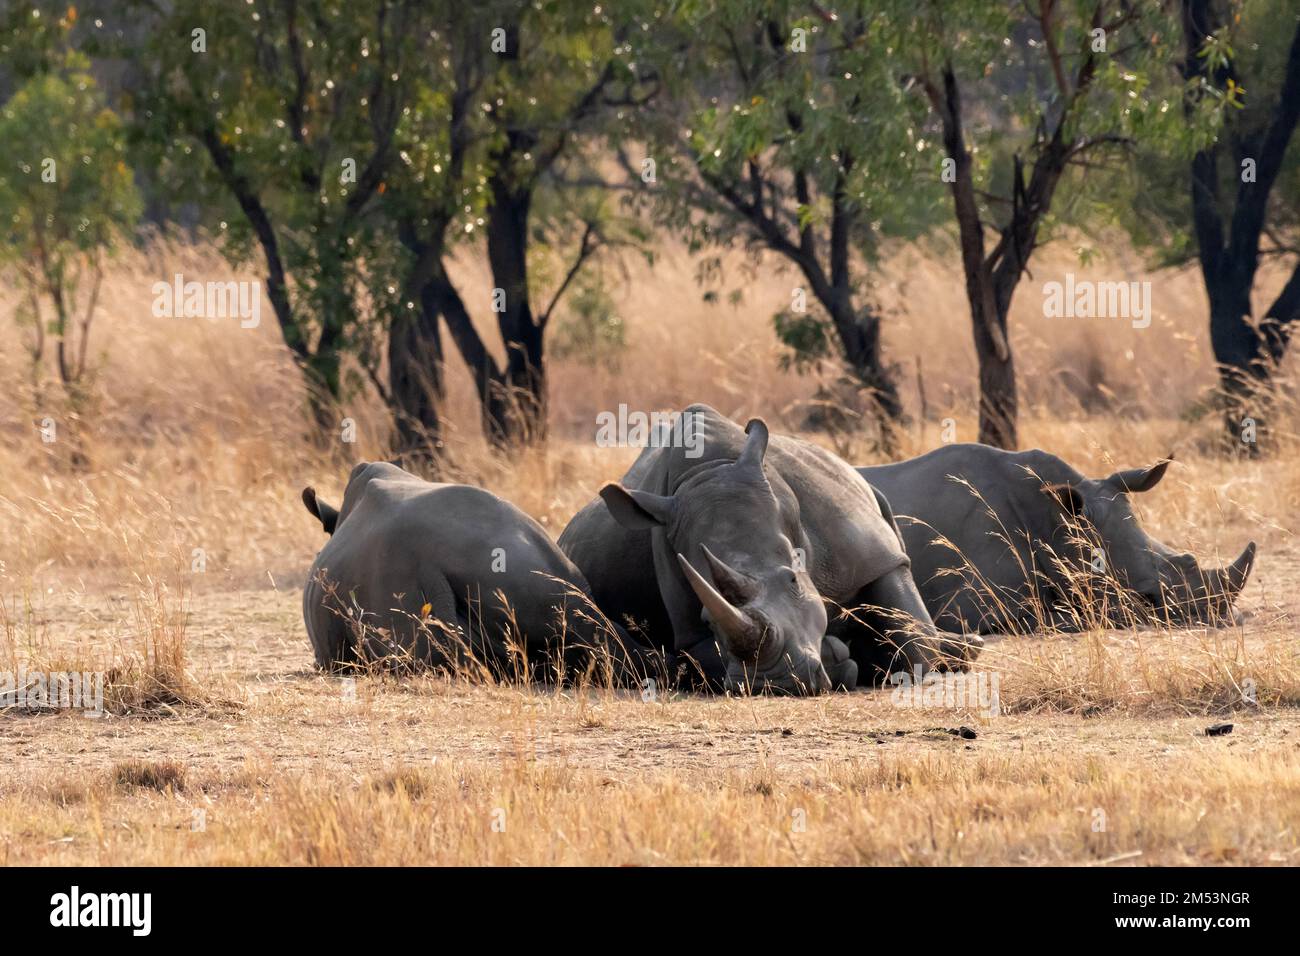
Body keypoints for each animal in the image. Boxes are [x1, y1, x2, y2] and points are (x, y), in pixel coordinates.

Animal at [558, 404, 981, 695]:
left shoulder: (871, 552)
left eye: (794, 580)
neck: (714, 467)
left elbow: (913, 641)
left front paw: (863, 654)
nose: (775, 683)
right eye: (707, 619)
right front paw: (840, 658)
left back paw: (962, 648)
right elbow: (701, 654)